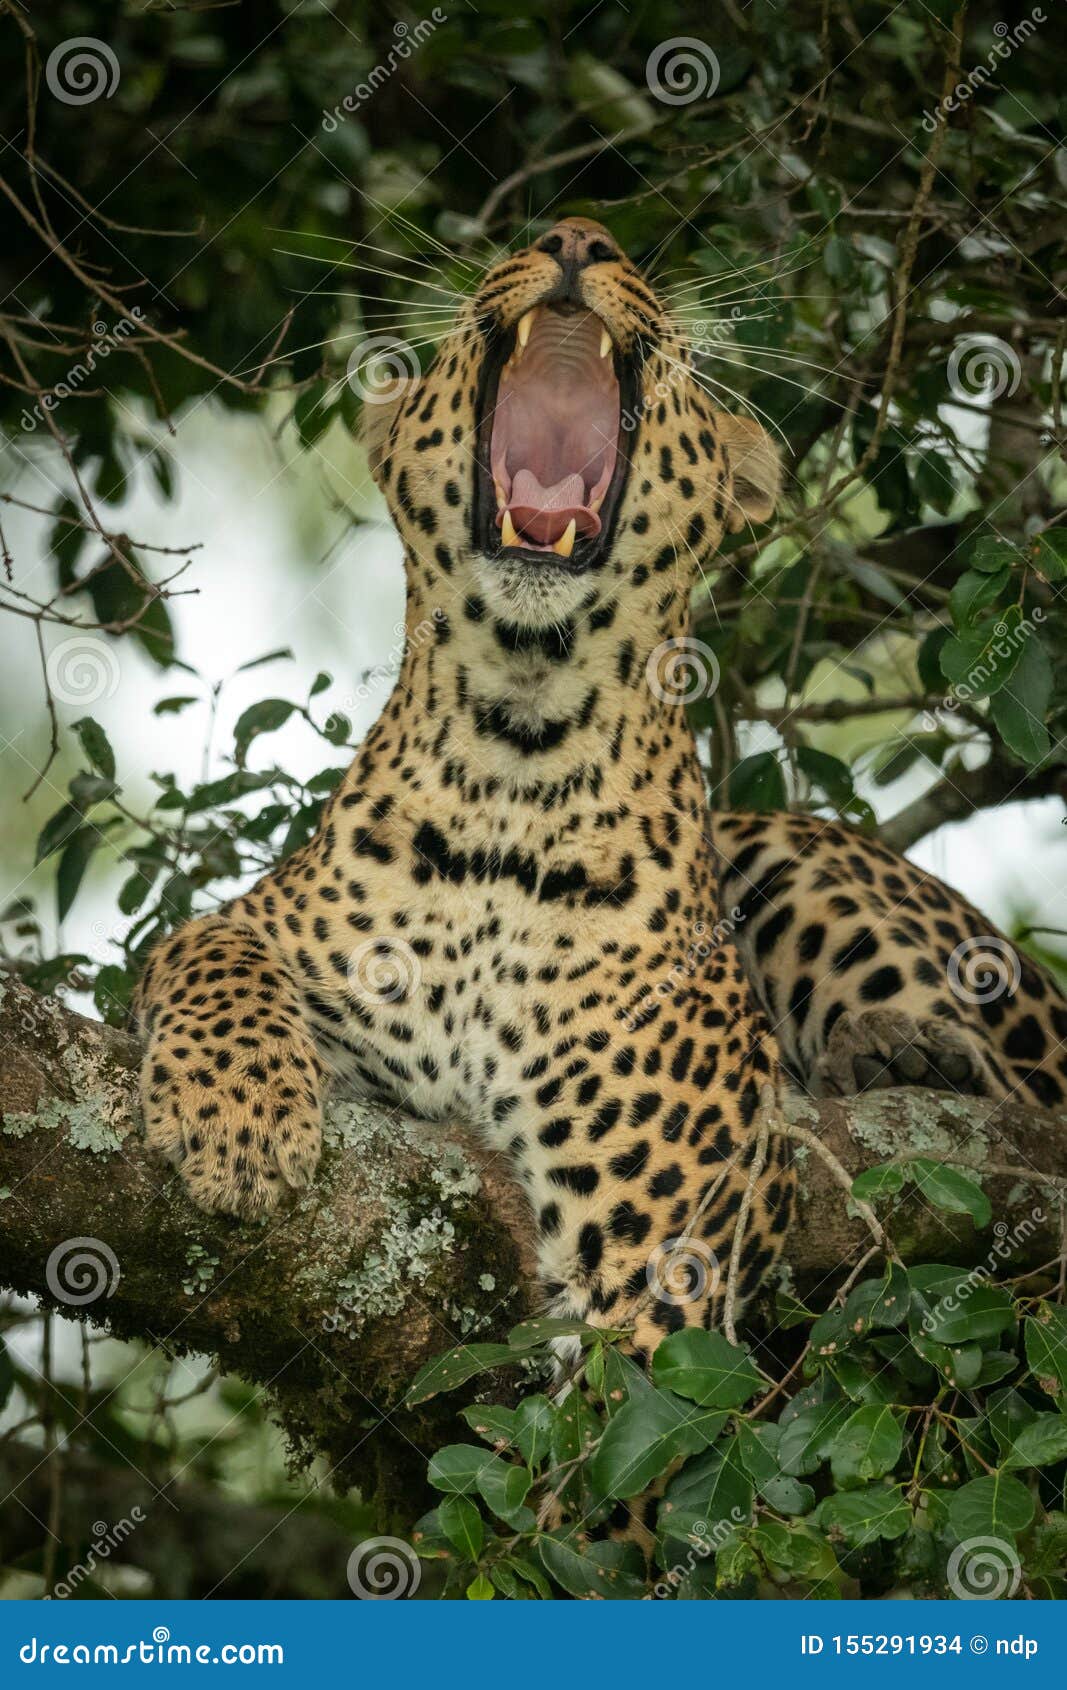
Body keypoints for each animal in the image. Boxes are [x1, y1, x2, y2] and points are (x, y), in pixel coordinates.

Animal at [135, 216, 1067, 1366]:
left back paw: (902, 1052)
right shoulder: (267, 930)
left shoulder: (666, 1217)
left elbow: (632, 1382)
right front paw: (239, 1121)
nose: (577, 234)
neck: (513, 749)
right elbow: (212, 950)